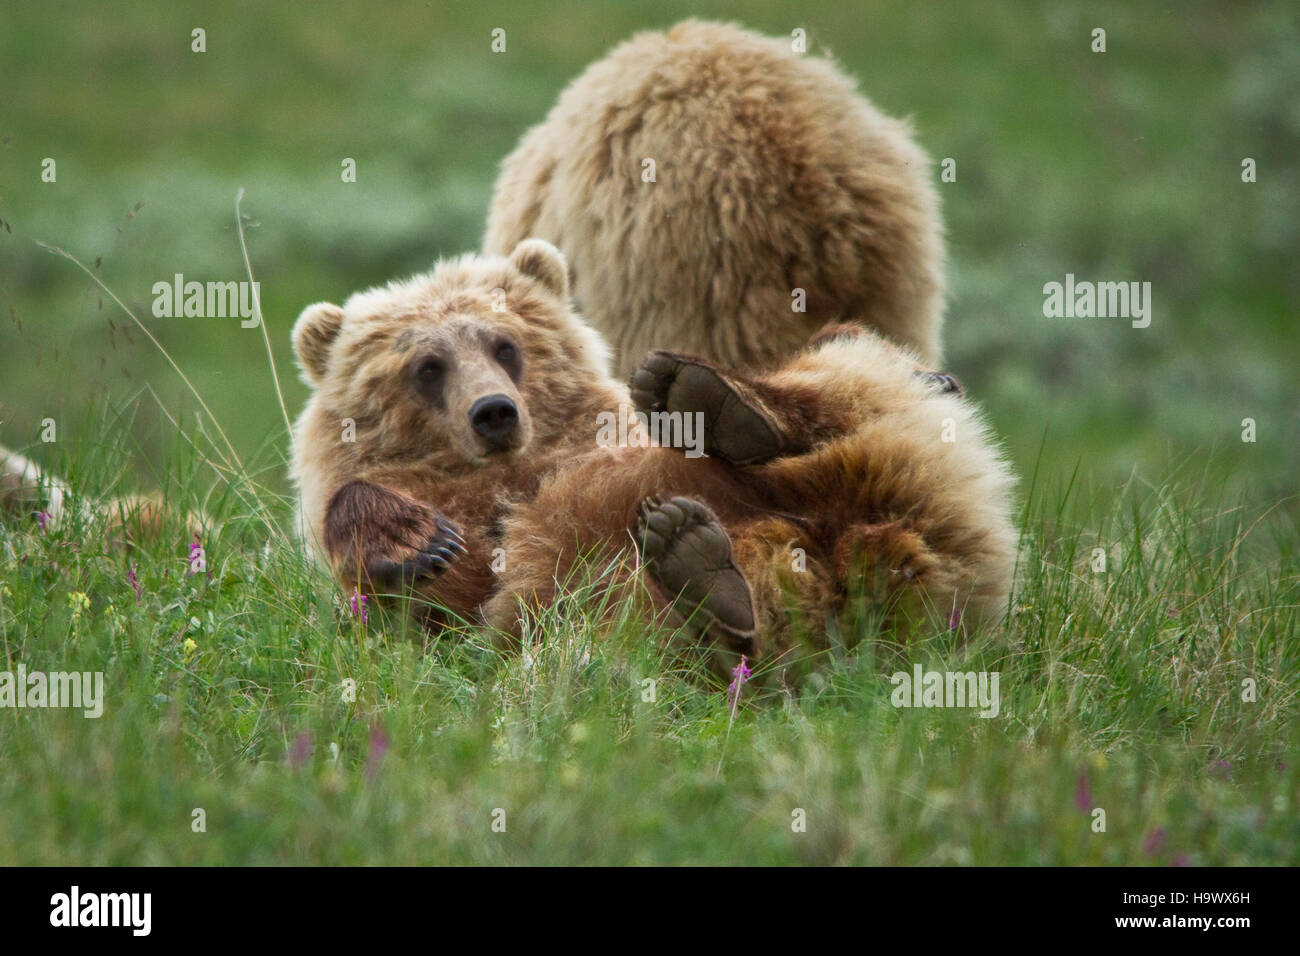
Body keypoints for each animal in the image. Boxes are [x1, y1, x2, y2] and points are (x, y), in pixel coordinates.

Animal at [290, 239, 1017, 690]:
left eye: (505, 344)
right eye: (427, 365)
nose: (494, 413)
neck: (513, 475)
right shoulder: (478, 573)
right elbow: (437, 594)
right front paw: (414, 540)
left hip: (868, 416)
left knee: (836, 366)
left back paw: (713, 402)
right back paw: (704, 568)